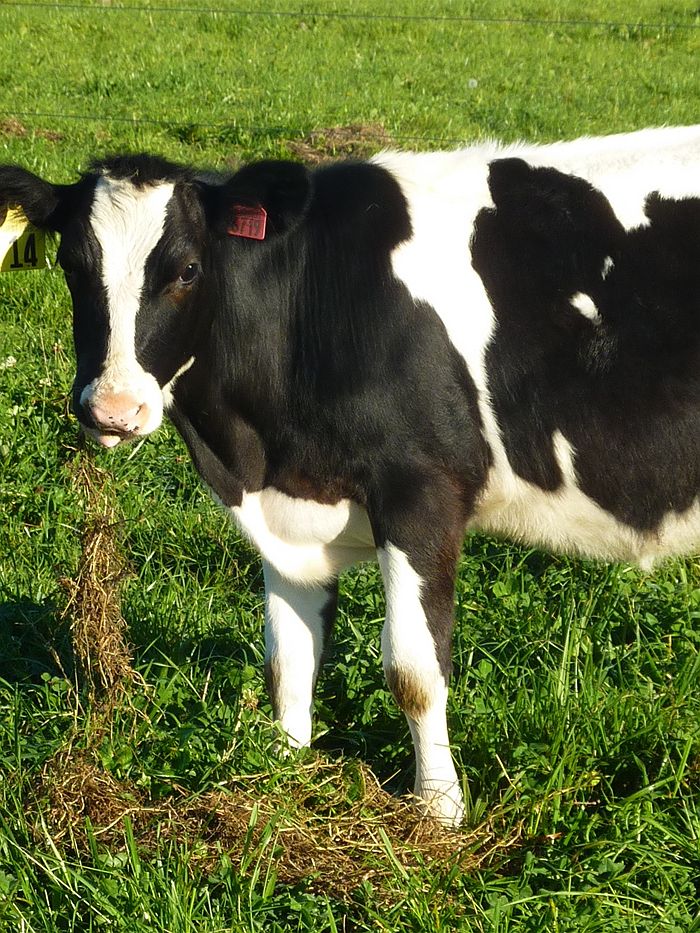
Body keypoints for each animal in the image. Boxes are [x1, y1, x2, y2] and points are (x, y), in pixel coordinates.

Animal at [1, 124, 699, 827]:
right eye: (71, 265)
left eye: (188, 270)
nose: (112, 409)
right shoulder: (285, 510)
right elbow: (288, 657)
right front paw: (281, 776)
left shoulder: (421, 491)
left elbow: (415, 670)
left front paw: (438, 812)